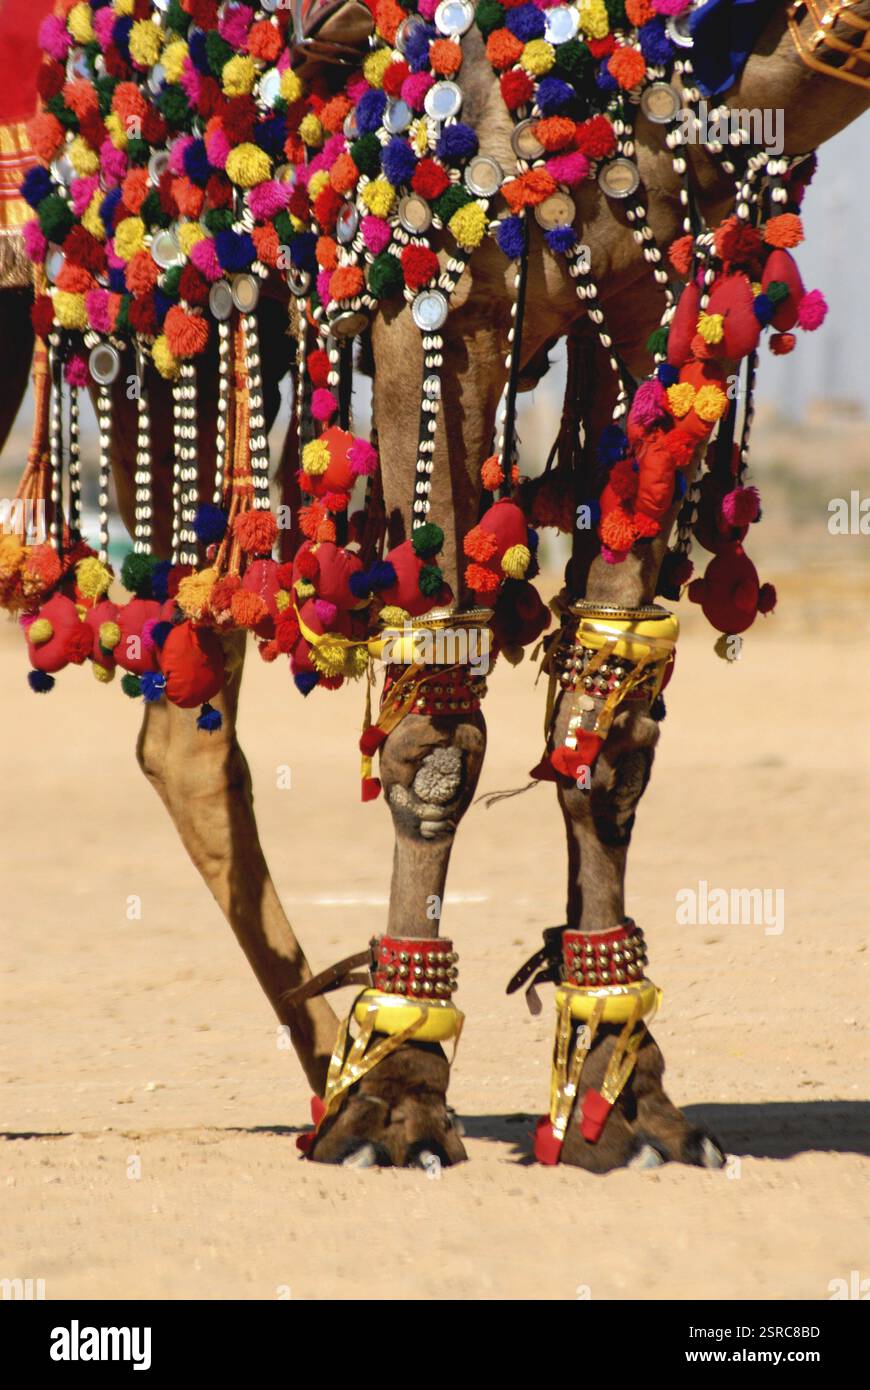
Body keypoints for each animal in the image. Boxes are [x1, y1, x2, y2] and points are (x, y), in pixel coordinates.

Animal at [3, 0, 868, 1171]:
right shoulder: (438, 284)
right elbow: (438, 719)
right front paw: (398, 1092)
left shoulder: (663, 287)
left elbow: (609, 709)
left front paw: (620, 1086)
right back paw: (344, 1065)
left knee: (183, 730)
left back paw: (328, 1058)